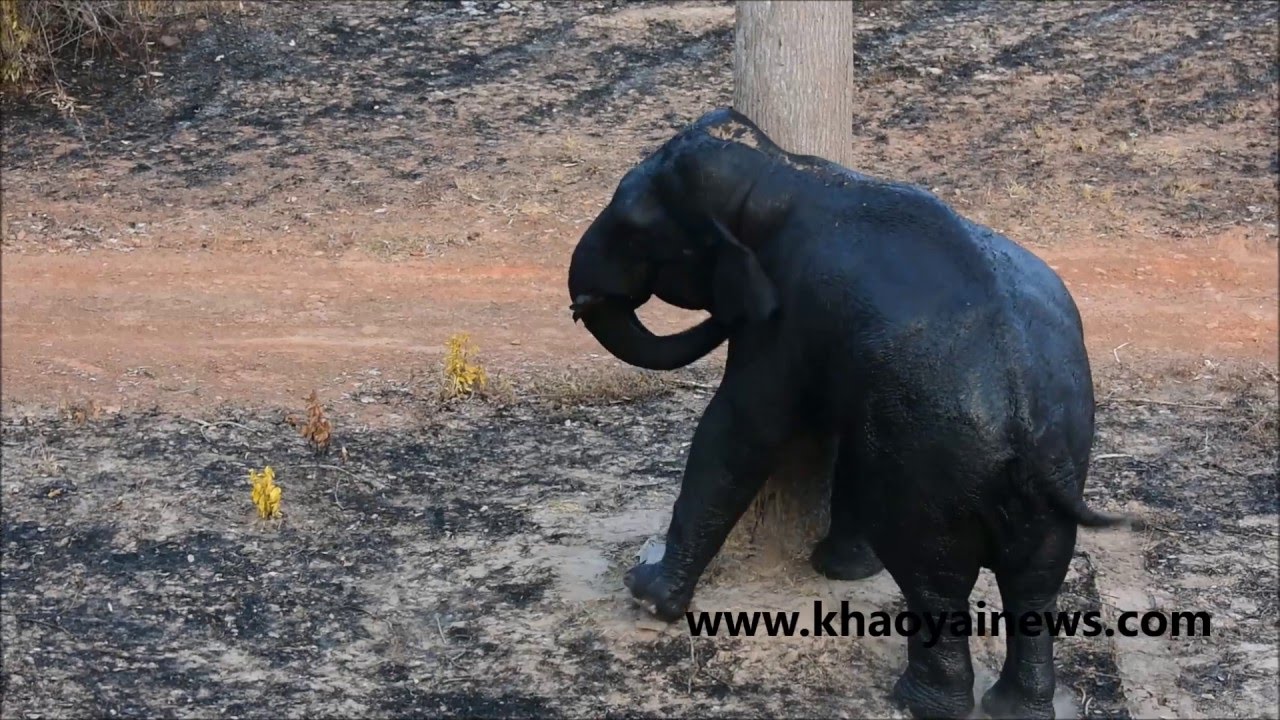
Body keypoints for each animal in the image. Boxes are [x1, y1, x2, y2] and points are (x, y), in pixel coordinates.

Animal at [566, 107, 1141, 720]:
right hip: (1059, 459)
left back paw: (920, 702)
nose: (583, 303)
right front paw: (841, 569)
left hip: (936, 467)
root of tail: (1023, 423)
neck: (780, 172)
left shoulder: (786, 314)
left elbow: (741, 428)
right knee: (1036, 578)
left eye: (632, 229)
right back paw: (1013, 707)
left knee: (934, 572)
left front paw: (647, 594)